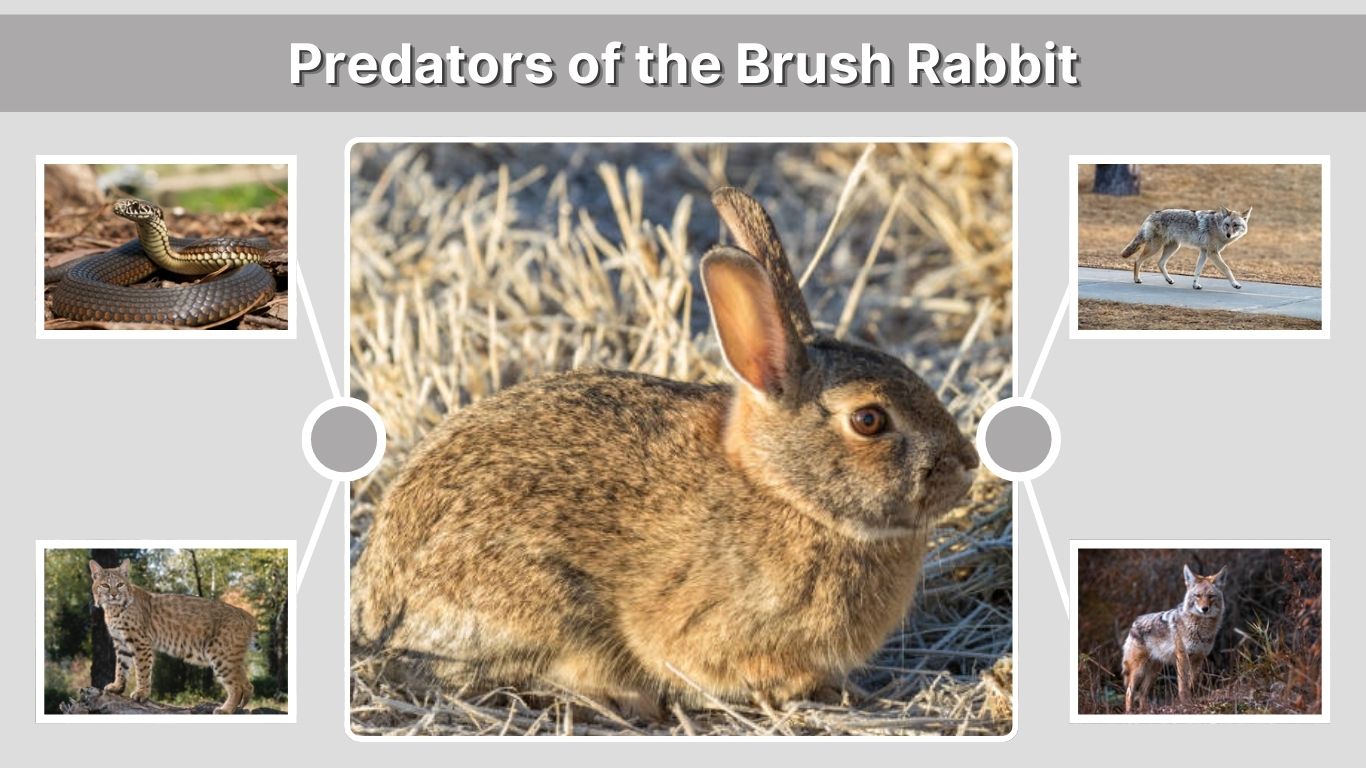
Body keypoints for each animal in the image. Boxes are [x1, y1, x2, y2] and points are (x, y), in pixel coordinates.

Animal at [352, 187, 980, 721]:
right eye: (869, 420)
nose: (968, 464)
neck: (784, 492)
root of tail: (378, 616)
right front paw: (822, 690)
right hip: (538, 606)